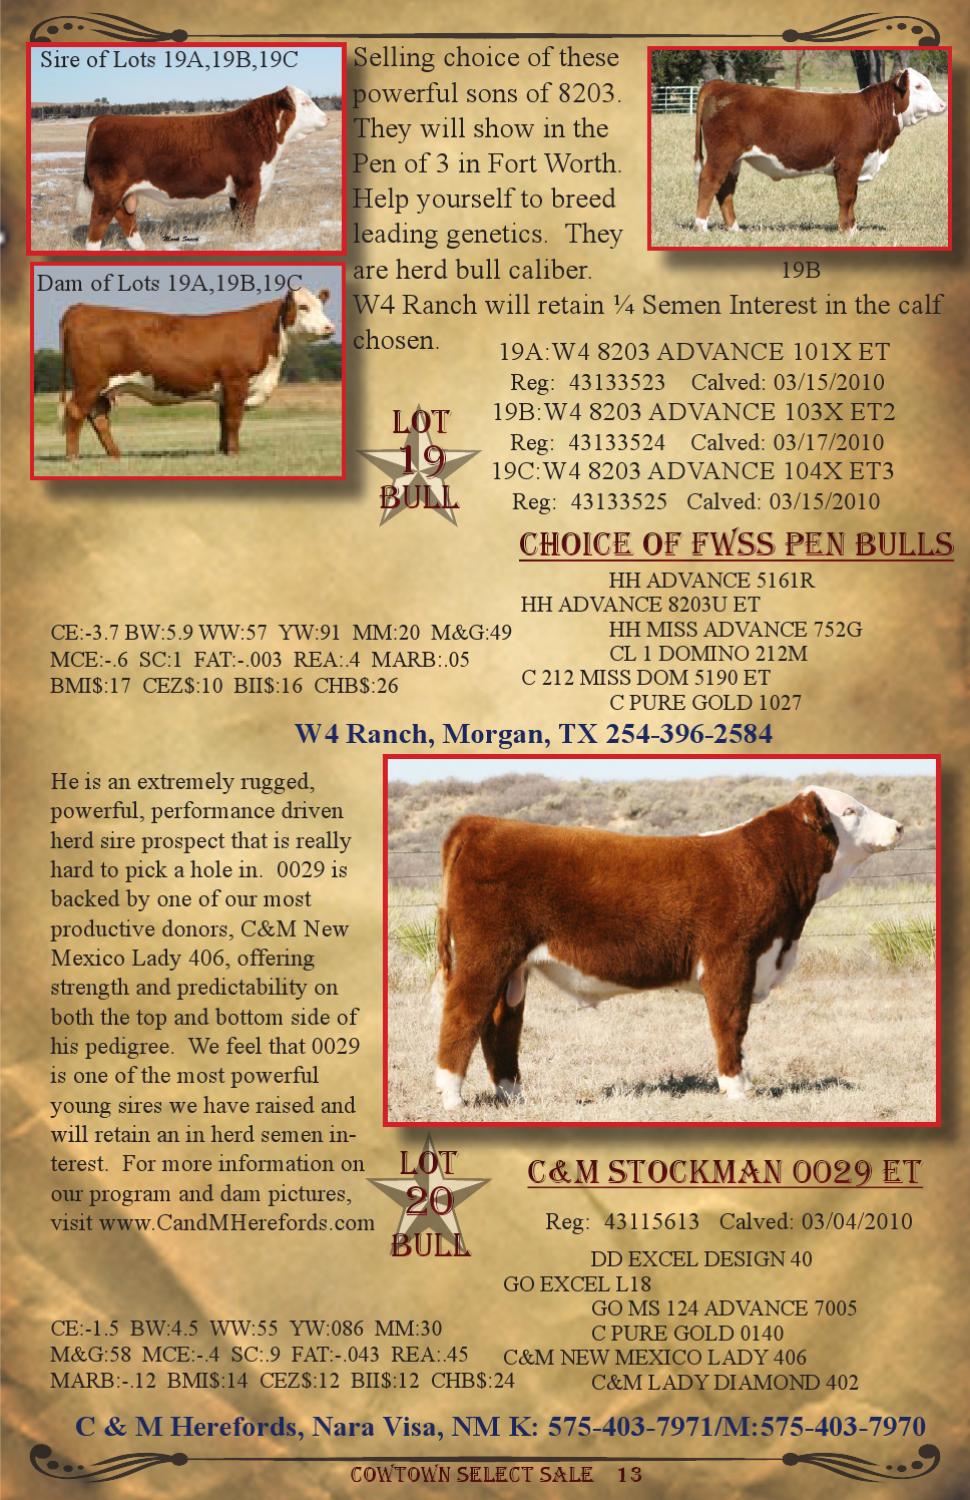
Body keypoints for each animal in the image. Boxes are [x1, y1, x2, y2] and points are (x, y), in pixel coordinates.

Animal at [57, 286, 335, 459]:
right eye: (303, 307)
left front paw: (223, 451)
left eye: (321, 305)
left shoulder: (225, 388)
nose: (329, 327)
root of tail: (81, 308)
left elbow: (224, 421)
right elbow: (234, 419)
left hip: (101, 388)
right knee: (75, 412)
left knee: (99, 418)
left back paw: (116, 455)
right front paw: (234, 453)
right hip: (89, 382)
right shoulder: (236, 381)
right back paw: (73, 457)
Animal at [76, 85, 328, 250]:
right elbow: (247, 221)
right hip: (107, 192)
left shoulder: (236, 192)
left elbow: (238, 221)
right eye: (305, 102)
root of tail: (103, 119)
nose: (327, 118)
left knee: (126, 218)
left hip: (123, 194)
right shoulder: (249, 186)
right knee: (96, 228)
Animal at [430, 788, 903, 1109]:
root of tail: (480, 824)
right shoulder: (732, 957)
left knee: (500, 1025)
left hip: (512, 968)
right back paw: (452, 1099)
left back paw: (512, 1095)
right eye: (850, 811)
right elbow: (730, 1023)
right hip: (484, 955)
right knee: (462, 1016)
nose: (898, 827)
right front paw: (736, 1089)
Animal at [692, 67, 946, 235]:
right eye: (919, 86)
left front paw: (853, 228)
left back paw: (735, 229)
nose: (943, 104)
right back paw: (701, 226)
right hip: (722, 153)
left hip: (733, 159)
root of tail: (721, 84)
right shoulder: (849, 161)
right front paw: (846, 231)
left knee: (725, 189)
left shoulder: (857, 164)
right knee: (709, 182)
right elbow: (846, 196)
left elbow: (853, 197)